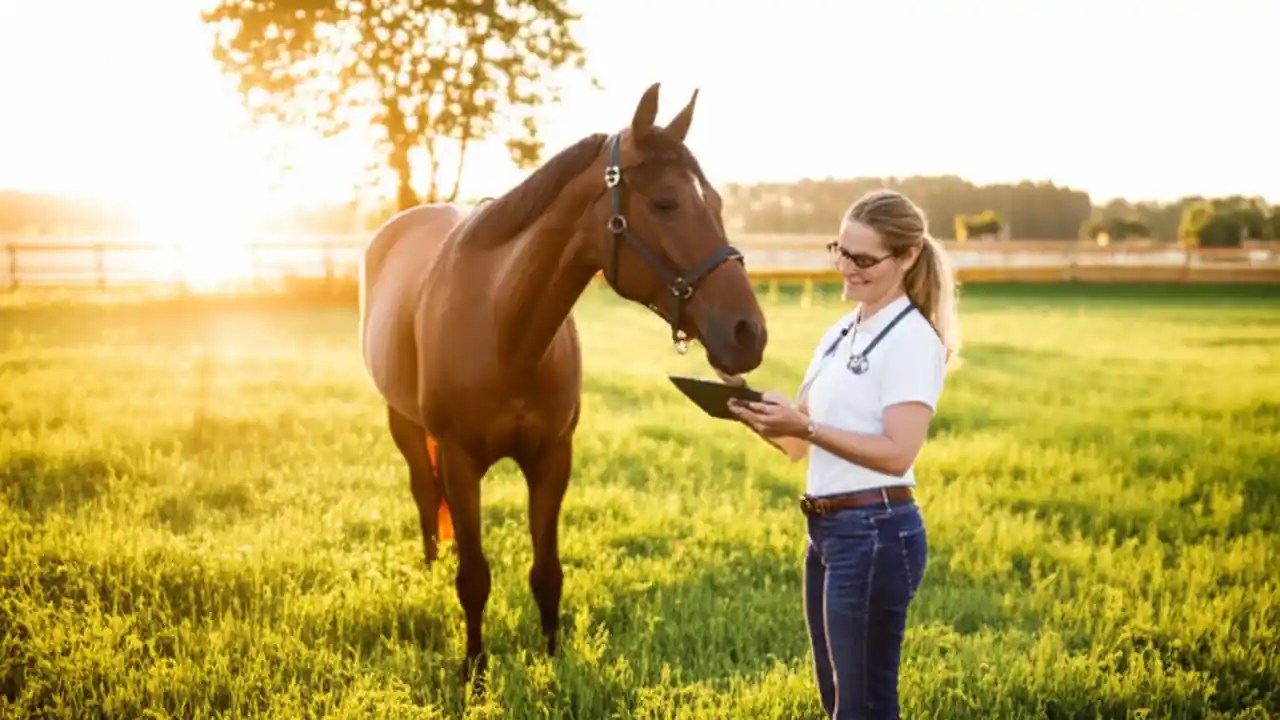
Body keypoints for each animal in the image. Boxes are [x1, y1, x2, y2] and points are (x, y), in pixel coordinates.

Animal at [358, 82, 768, 681]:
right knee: (423, 491)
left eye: (715, 203)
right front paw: (476, 670)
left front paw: (552, 661)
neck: (506, 328)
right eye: (666, 203)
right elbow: (474, 577)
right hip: (401, 422)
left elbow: (547, 573)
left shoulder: (553, 458)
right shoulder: (461, 462)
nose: (748, 333)